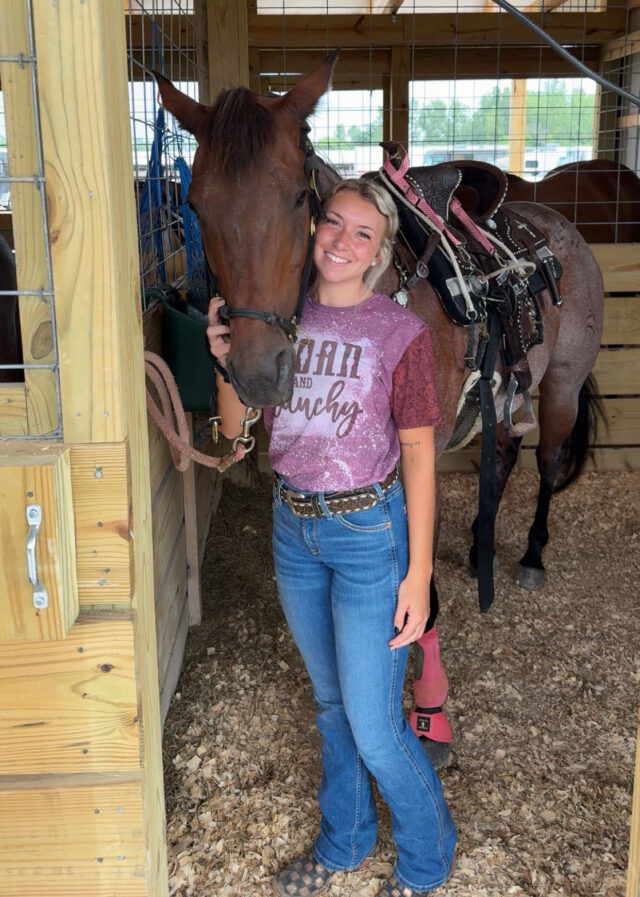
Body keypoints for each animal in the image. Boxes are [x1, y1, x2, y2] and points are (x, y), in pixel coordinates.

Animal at [154, 55, 604, 756]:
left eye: (297, 196)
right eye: (196, 203)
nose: (257, 371)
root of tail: (555, 227)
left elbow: (417, 590)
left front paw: (430, 708)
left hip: (558, 385)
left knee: (548, 460)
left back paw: (530, 555)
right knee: (503, 454)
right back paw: (480, 544)